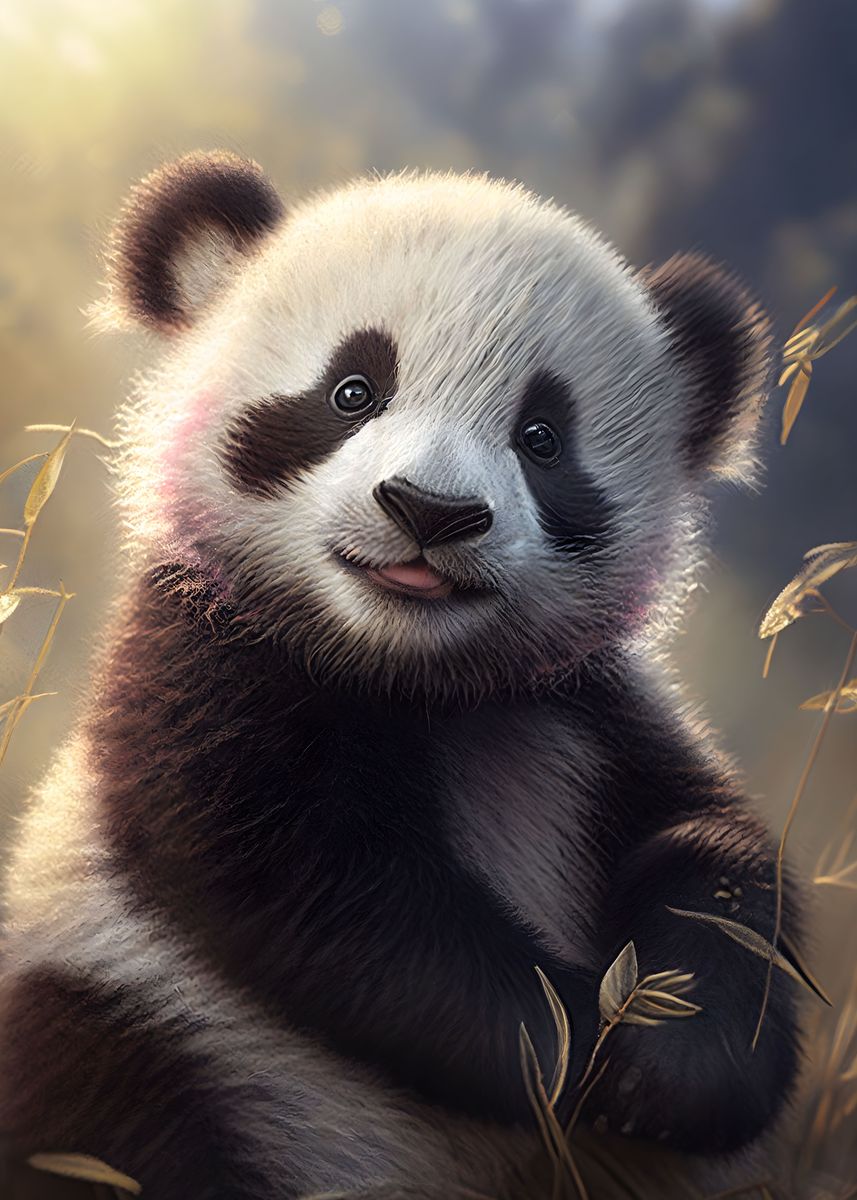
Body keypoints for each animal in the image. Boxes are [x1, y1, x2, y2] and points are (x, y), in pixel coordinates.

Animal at [0, 152, 801, 1200]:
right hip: (142, 1029)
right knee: (112, 1110)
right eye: (352, 391)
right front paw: (570, 1042)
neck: (416, 674)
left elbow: (712, 849)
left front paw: (672, 1057)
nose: (430, 509)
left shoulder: (581, 706)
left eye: (542, 437)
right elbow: (312, 881)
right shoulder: (208, 654)